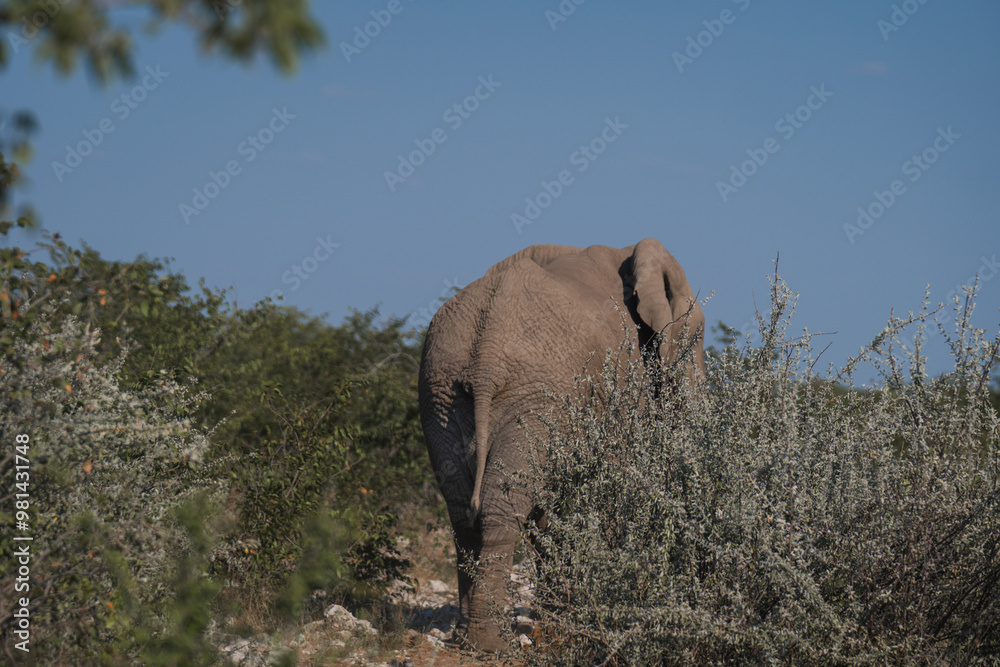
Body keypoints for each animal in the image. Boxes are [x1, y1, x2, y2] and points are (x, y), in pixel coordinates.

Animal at [417, 238, 705, 651]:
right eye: (699, 334)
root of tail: (485, 359)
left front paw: (560, 621)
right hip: (532, 395)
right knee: (500, 508)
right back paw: (492, 644)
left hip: (441, 393)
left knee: (462, 512)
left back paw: (464, 638)